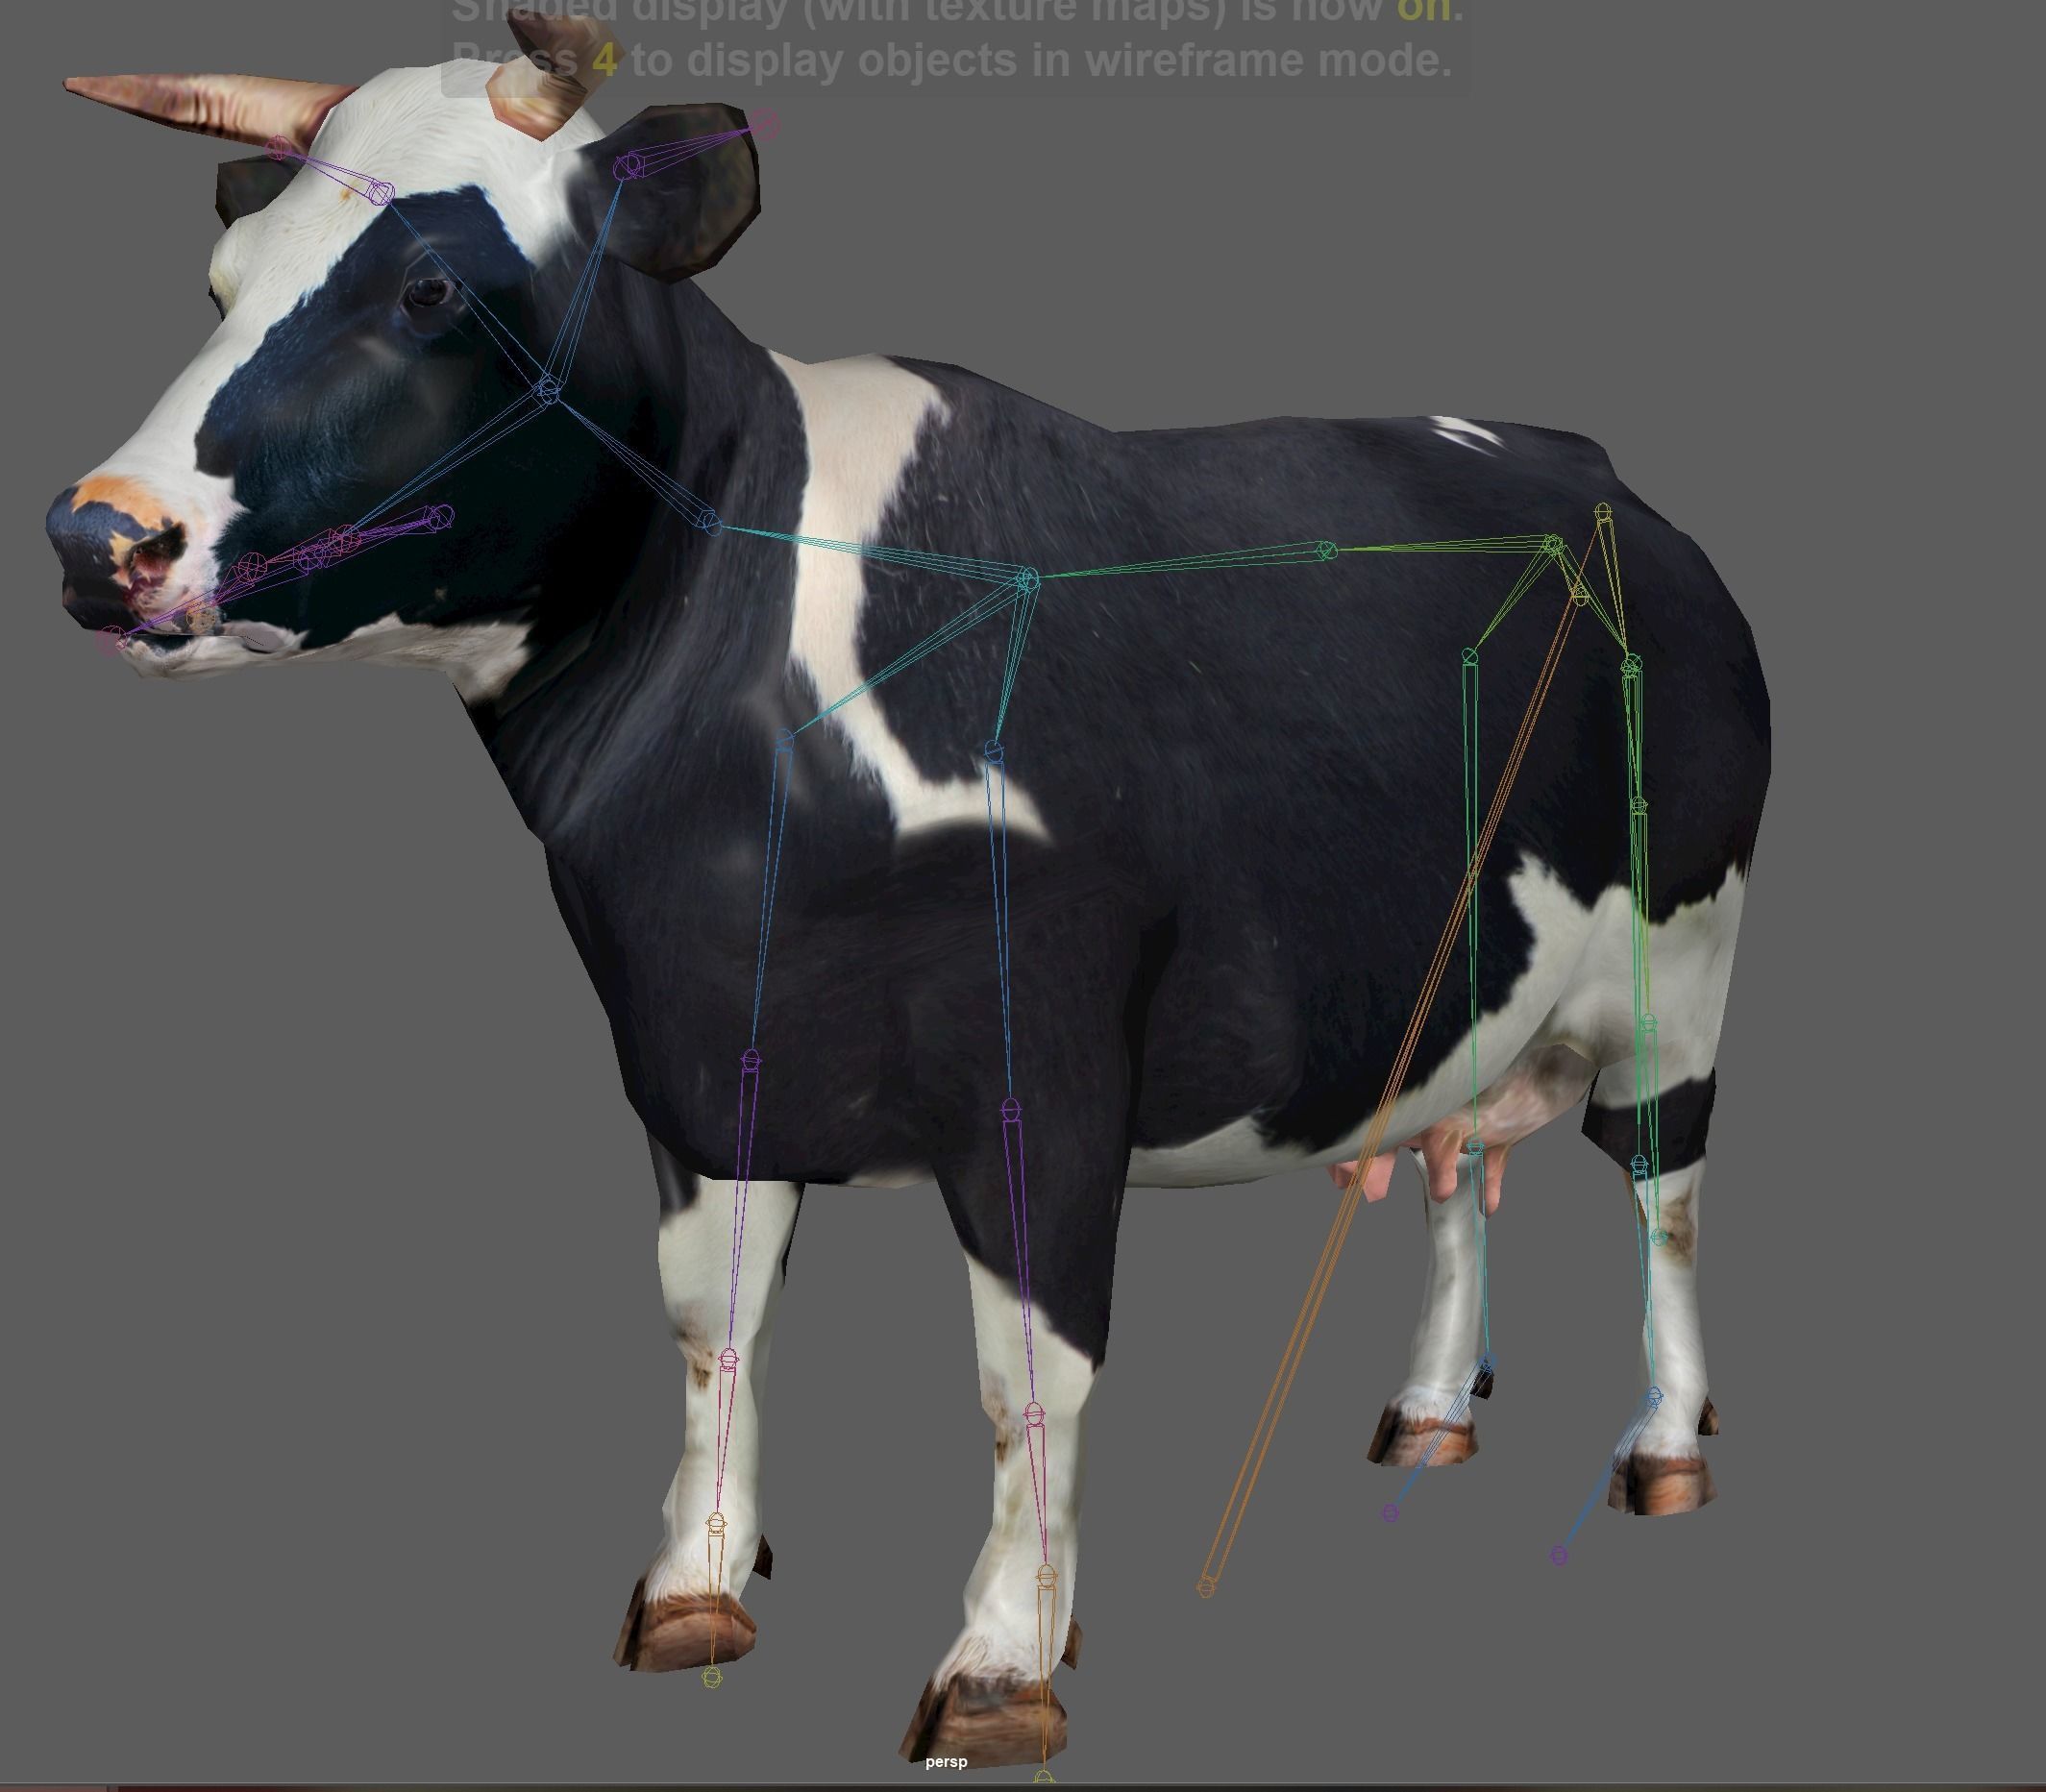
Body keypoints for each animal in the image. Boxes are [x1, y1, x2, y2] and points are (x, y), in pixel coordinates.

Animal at [46, 12, 1770, 1772]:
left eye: (432, 294)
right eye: (222, 275)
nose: (99, 536)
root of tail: (1596, 471)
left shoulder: (1048, 1070)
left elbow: (1030, 1380)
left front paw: (1007, 1658)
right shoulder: (693, 1051)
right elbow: (709, 1323)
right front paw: (697, 1580)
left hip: (1679, 973)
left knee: (1666, 1197)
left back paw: (1662, 1447)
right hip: (1466, 984)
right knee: (1450, 1166)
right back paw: (1425, 1418)